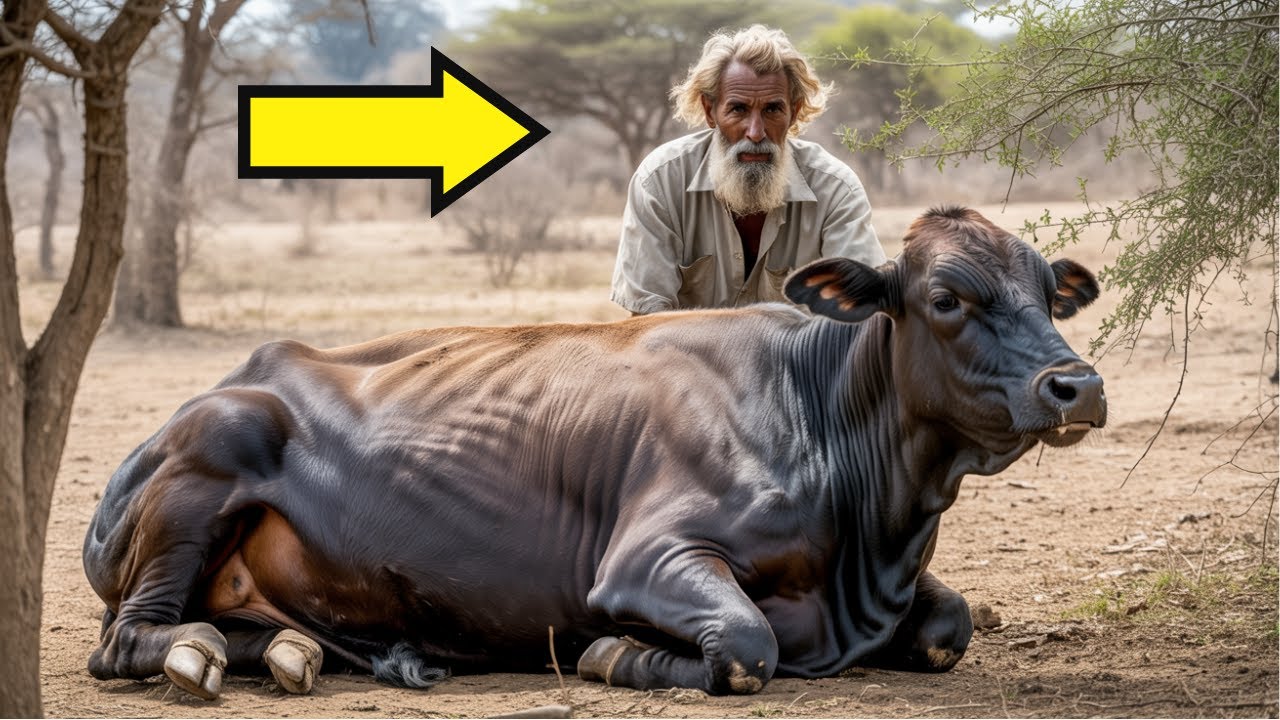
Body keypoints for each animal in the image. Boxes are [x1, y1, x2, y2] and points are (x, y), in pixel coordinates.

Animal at [83, 206, 1106, 700]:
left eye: (1047, 293)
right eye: (946, 297)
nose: (1078, 385)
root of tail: (241, 372)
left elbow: (949, 625)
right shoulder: (648, 558)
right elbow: (748, 645)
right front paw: (616, 656)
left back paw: (301, 653)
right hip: (202, 473)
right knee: (131, 638)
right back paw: (197, 657)